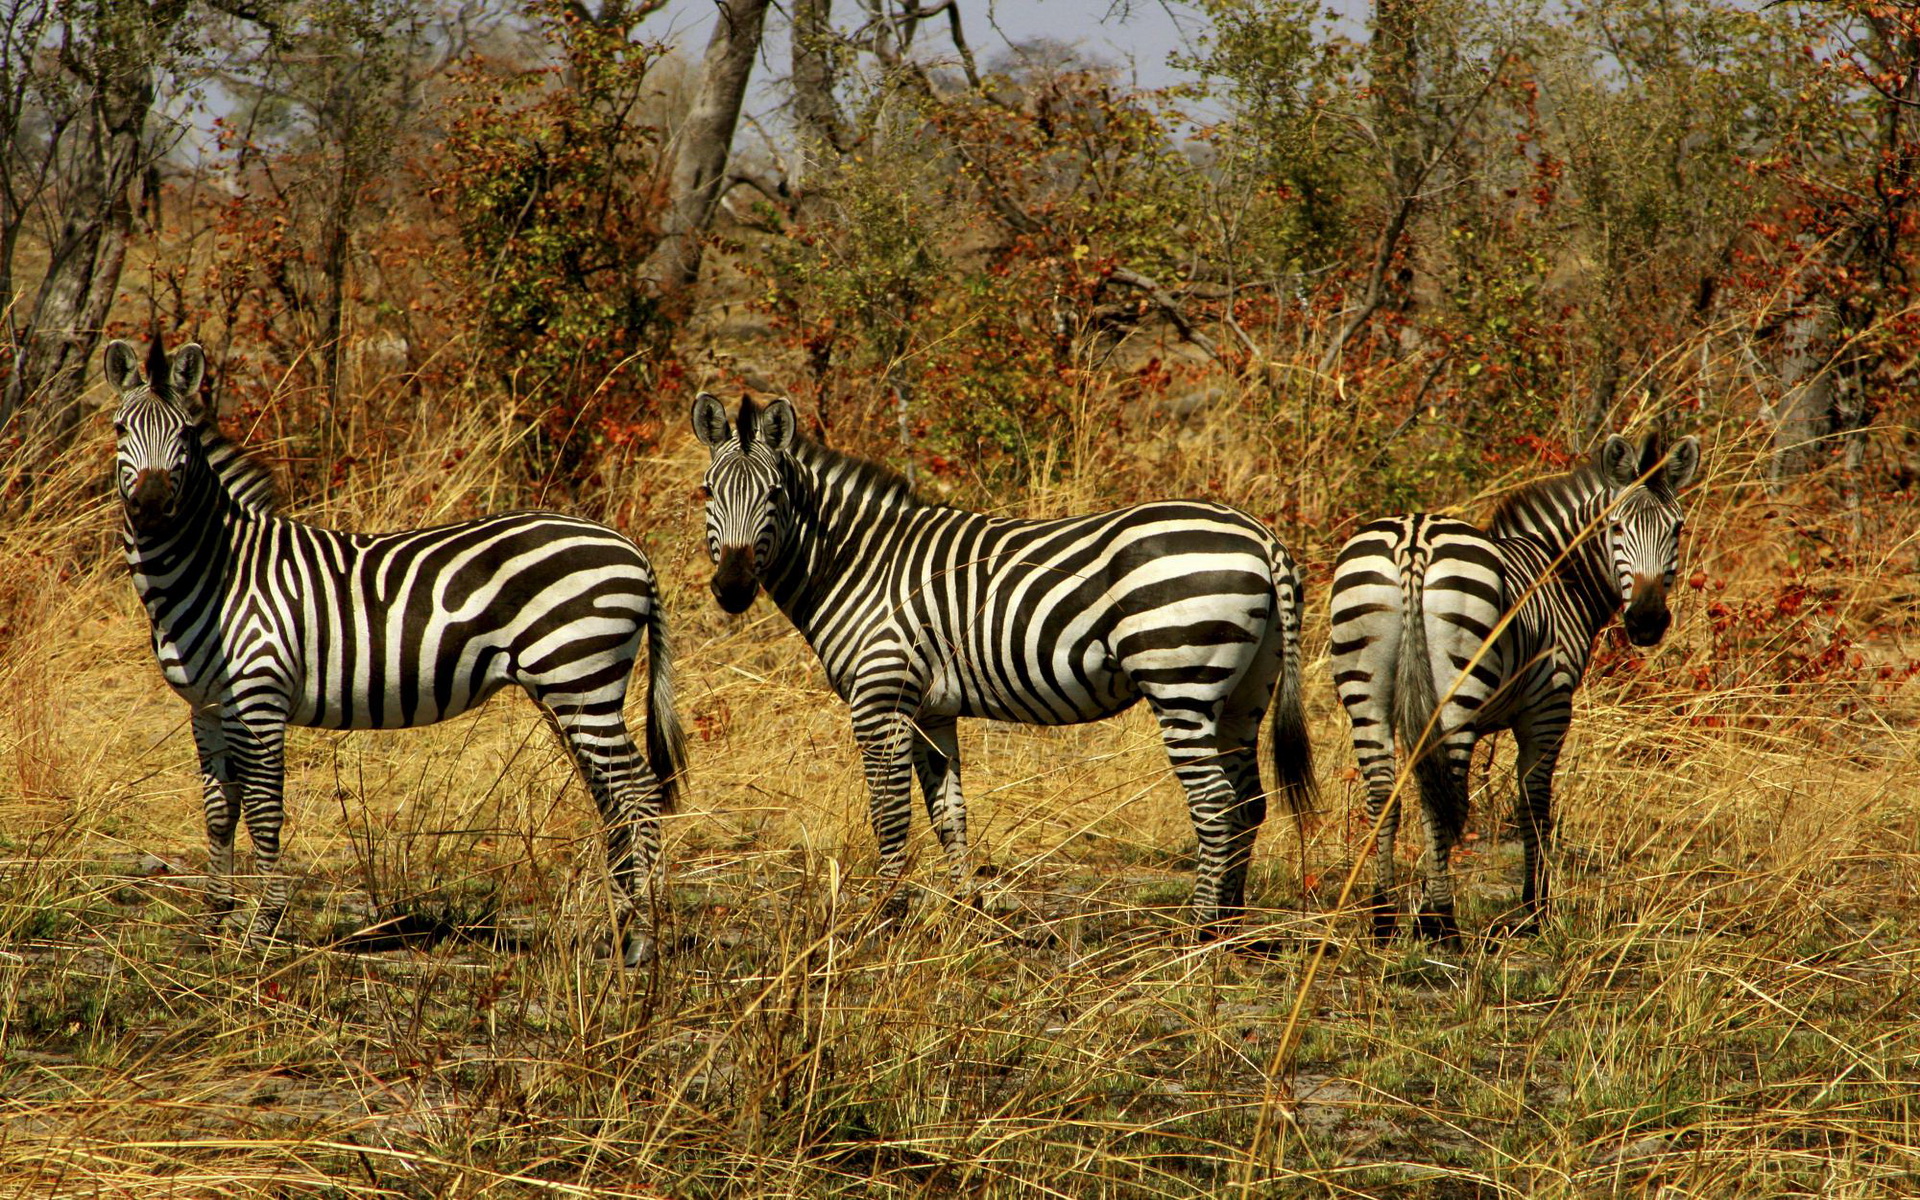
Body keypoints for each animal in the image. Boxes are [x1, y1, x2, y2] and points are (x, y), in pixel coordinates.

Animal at [106, 338, 688, 965]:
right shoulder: (207, 707)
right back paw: (621, 928)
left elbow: (263, 811)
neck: (219, 569)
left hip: (581, 678)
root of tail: (631, 548)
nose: (152, 506)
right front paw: (212, 926)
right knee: (613, 796)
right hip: (571, 691)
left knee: (638, 792)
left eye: (186, 436)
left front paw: (262, 932)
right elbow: (219, 812)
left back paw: (644, 938)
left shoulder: (259, 698)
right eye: (119, 429)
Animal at [689, 393, 1317, 934]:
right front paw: (964, 909)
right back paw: (1230, 927)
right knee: (1249, 803)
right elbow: (948, 813)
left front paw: (883, 916)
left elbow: (890, 814)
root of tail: (1260, 536)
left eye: (775, 495)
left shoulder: (882, 697)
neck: (859, 564)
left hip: (1179, 681)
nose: (732, 588)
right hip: (1243, 694)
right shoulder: (930, 710)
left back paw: (1197, 931)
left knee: (1215, 805)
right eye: (707, 492)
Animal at [1328, 432, 1701, 943]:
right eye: (1616, 528)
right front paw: (1534, 908)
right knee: (1444, 800)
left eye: (1677, 529)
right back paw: (1442, 924)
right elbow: (1533, 805)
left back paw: (1383, 916)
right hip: (1456, 694)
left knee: (1386, 793)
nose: (1647, 621)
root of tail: (1413, 540)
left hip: (1365, 688)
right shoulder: (1548, 710)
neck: (1559, 576)